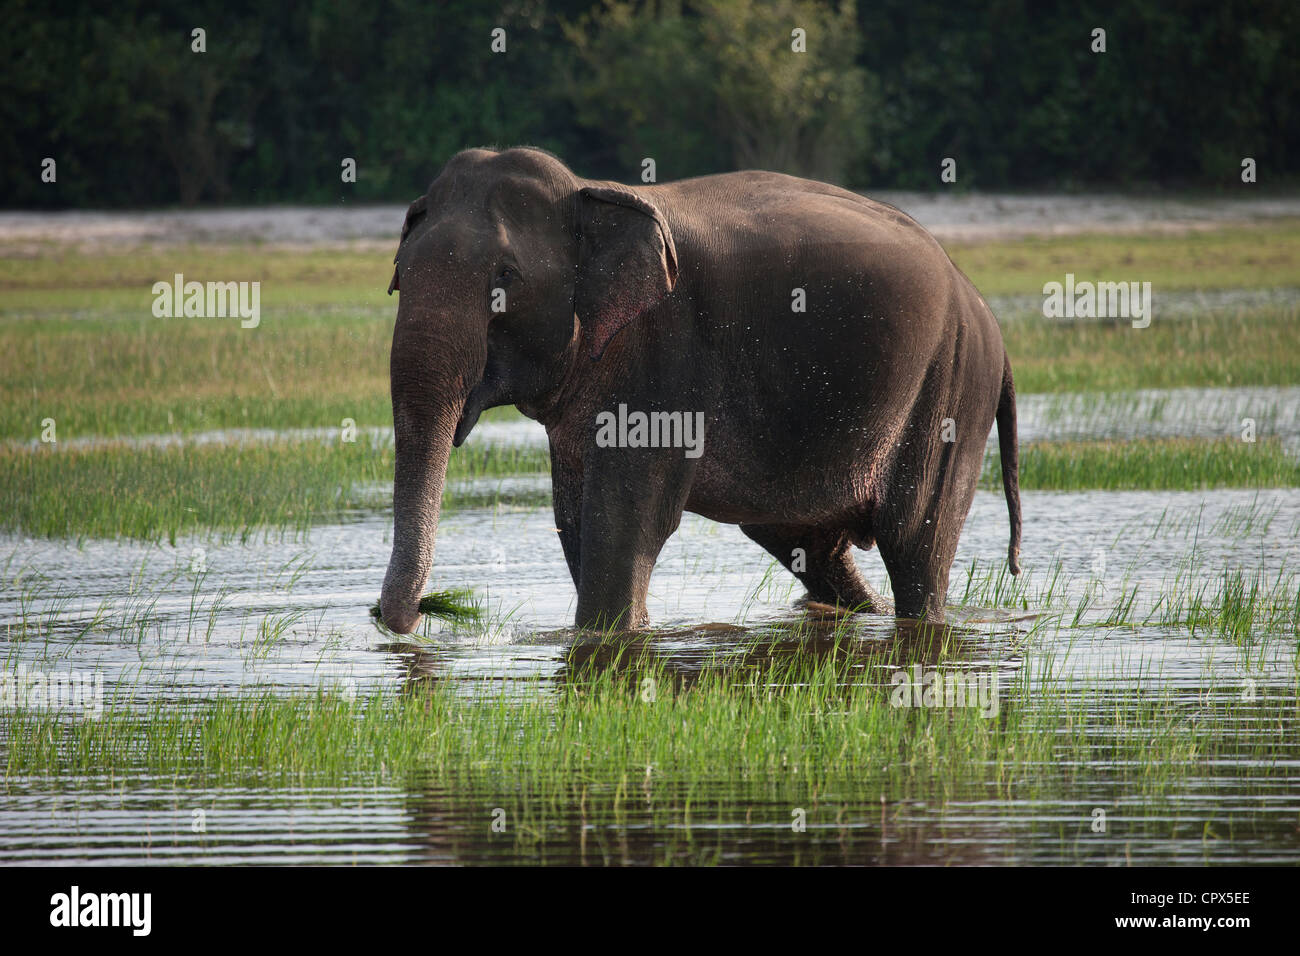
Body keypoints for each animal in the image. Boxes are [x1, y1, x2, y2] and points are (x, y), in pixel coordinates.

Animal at [378, 146, 1022, 634]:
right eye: (399, 276)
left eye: (505, 280)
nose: (408, 620)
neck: (588, 193)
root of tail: (981, 304)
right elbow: (576, 521)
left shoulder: (661, 354)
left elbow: (626, 523)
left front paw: (610, 640)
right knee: (807, 543)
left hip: (951, 384)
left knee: (916, 542)